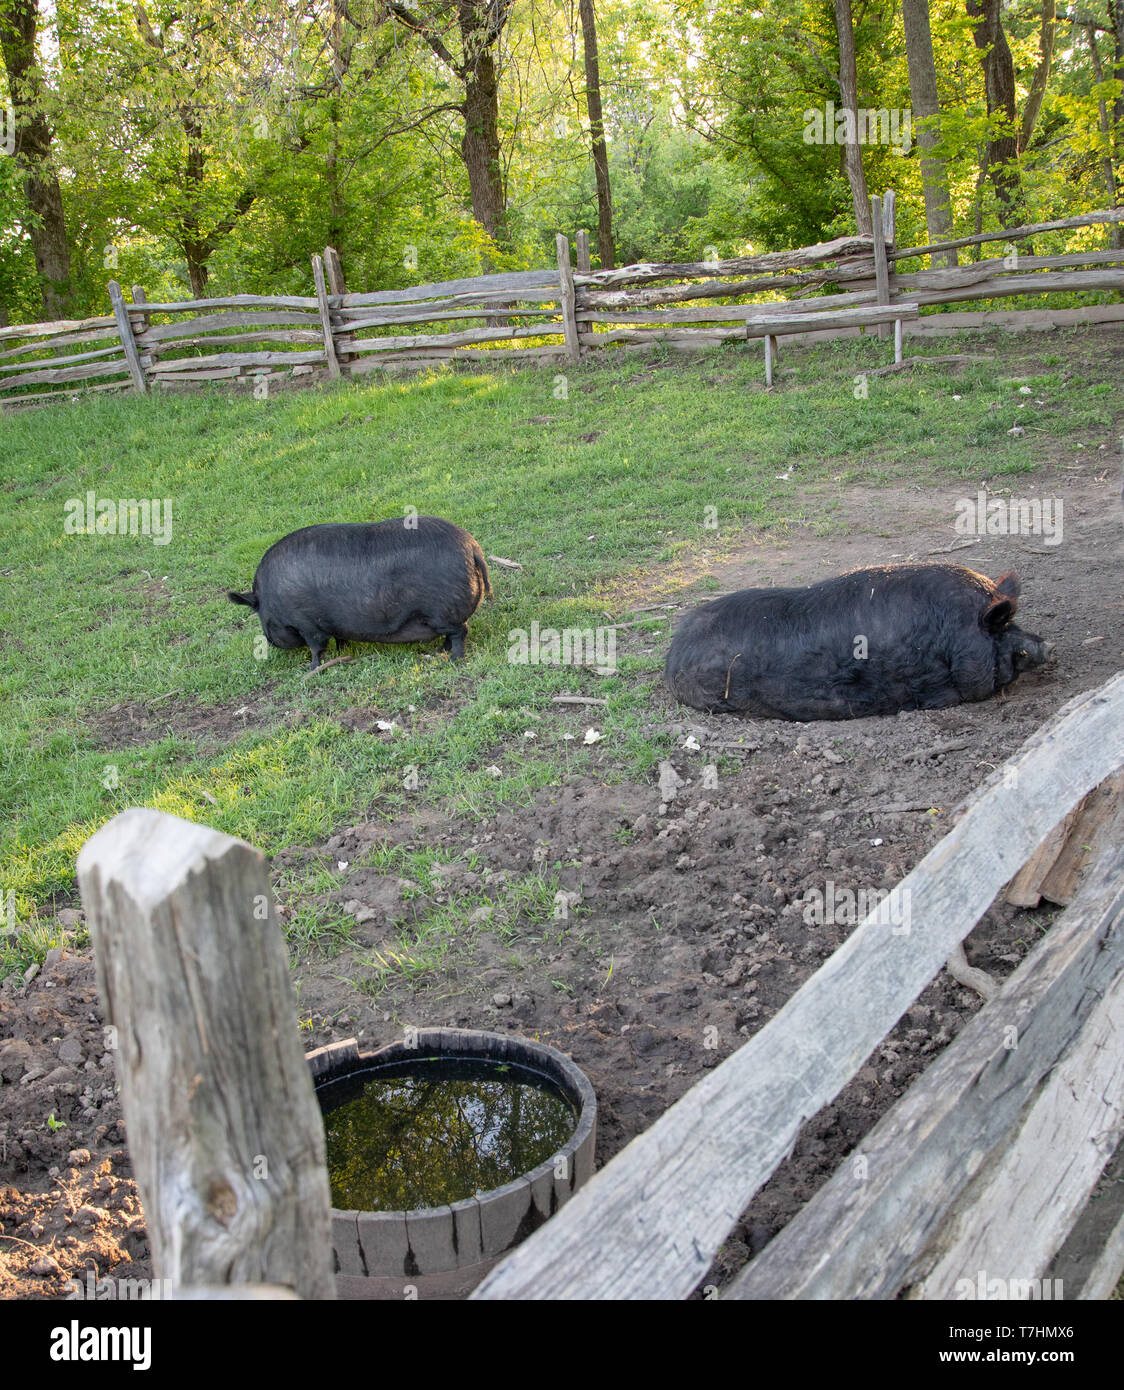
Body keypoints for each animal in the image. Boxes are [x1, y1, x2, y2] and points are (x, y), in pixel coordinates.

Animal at [228, 516, 491, 669]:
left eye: (260, 615)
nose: (270, 642)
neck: (271, 599)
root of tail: (472, 547)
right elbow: (339, 638)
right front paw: (342, 650)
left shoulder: (308, 624)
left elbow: (316, 647)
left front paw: (311, 668)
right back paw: (440, 651)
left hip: (442, 612)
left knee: (461, 631)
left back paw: (453, 659)